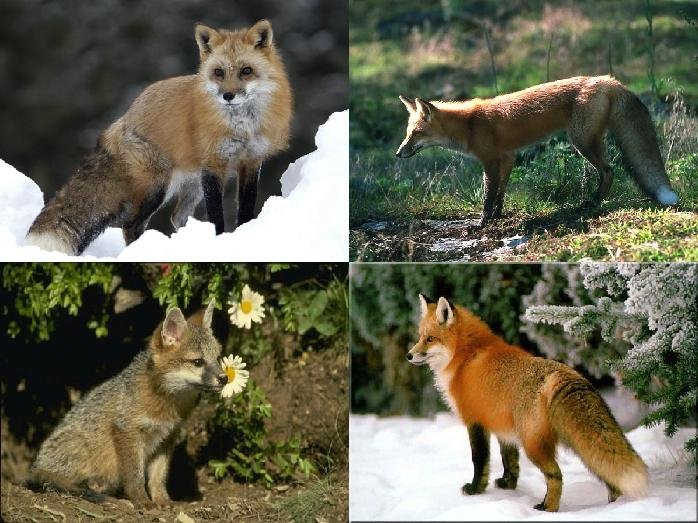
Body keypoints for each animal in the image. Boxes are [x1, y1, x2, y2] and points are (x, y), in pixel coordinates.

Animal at [25, 19, 293, 255]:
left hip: (191, 184)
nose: (228, 95)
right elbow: (216, 215)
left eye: (246, 71)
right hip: (159, 185)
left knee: (177, 217)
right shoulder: (214, 164)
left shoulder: (251, 161)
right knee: (131, 225)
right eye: (218, 72)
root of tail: (123, 119)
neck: (242, 126)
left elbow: (246, 208)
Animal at [29, 302, 226, 507]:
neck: (166, 405)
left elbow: (158, 477)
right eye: (198, 362)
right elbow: (135, 476)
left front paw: (162, 500)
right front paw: (142, 500)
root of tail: (36, 466)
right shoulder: (127, 432)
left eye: (218, 358)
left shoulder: (166, 438)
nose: (224, 378)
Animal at [396, 76, 679, 227]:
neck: (470, 125)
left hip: (581, 143)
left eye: (416, 134)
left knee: (609, 171)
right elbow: (501, 193)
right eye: (408, 133)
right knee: (608, 170)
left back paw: (593, 202)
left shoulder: (490, 161)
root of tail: (607, 80)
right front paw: (499, 216)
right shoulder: (508, 157)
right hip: (588, 141)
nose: (398, 153)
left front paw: (483, 223)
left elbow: (488, 196)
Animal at [407, 294, 648, 512]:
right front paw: (508, 485)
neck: (466, 356)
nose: (409, 355)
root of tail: (563, 373)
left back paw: (548, 508)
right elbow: (509, 460)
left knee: (556, 475)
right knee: (606, 473)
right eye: (419, 337)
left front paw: (476, 490)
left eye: (430, 339)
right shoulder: (502, 426)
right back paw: (615, 506)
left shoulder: (474, 421)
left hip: (533, 444)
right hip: (575, 443)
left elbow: (479, 460)